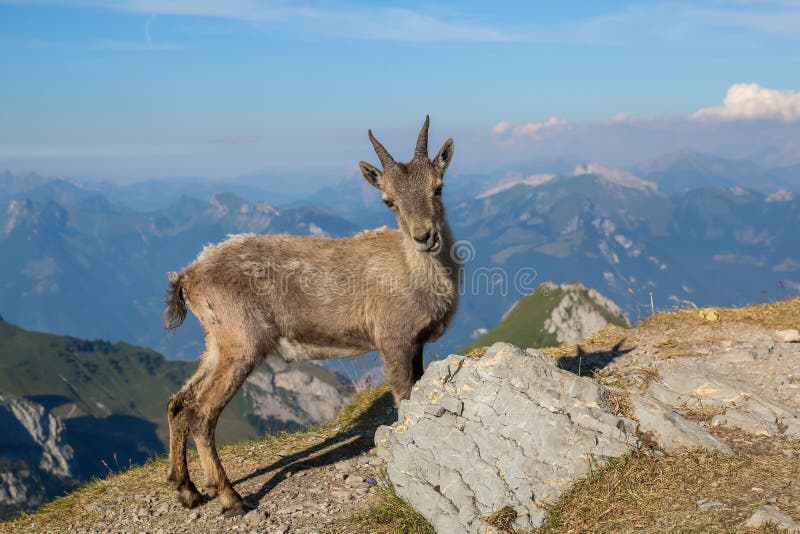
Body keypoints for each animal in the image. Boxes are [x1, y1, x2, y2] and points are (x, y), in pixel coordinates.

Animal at [163, 116, 459, 516]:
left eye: (438, 188)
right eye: (389, 201)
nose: (425, 237)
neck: (416, 272)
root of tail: (188, 276)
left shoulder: (416, 344)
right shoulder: (393, 340)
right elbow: (404, 397)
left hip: (217, 343)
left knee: (178, 404)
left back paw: (187, 490)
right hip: (242, 345)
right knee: (200, 412)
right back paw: (230, 497)